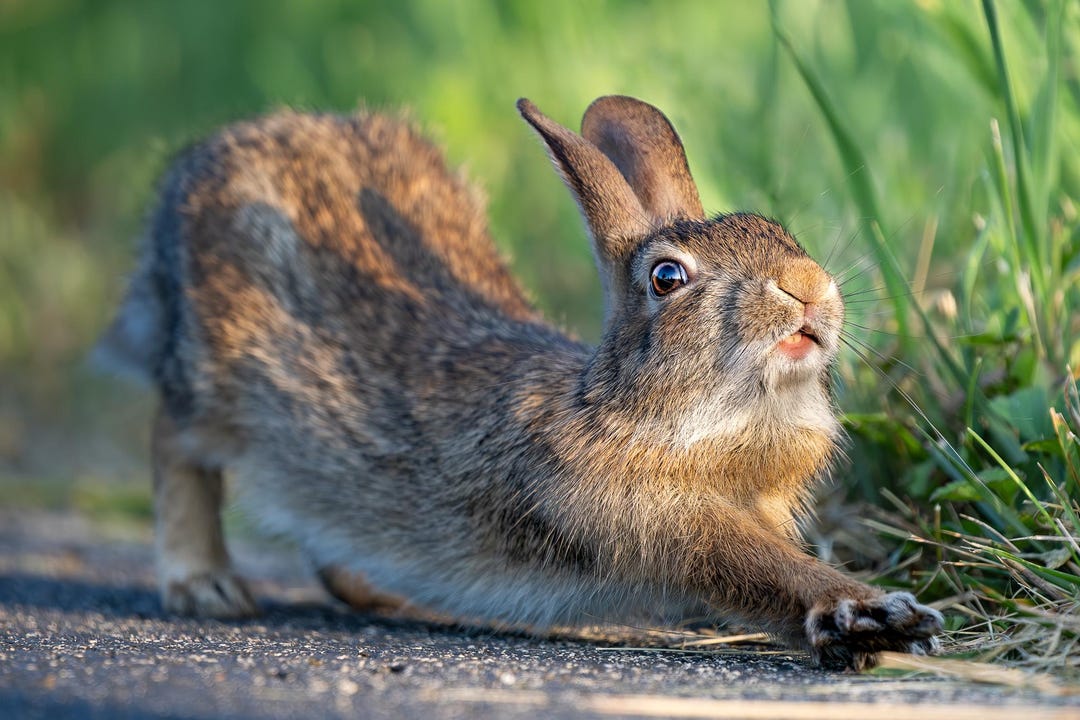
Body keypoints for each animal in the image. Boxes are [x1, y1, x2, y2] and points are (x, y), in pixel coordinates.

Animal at [97, 95, 943, 669]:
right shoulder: (645, 514)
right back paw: (203, 585)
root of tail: (205, 162)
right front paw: (869, 613)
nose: (807, 288)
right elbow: (759, 568)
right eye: (667, 278)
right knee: (172, 440)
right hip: (214, 380)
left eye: (780, 232)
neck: (652, 414)